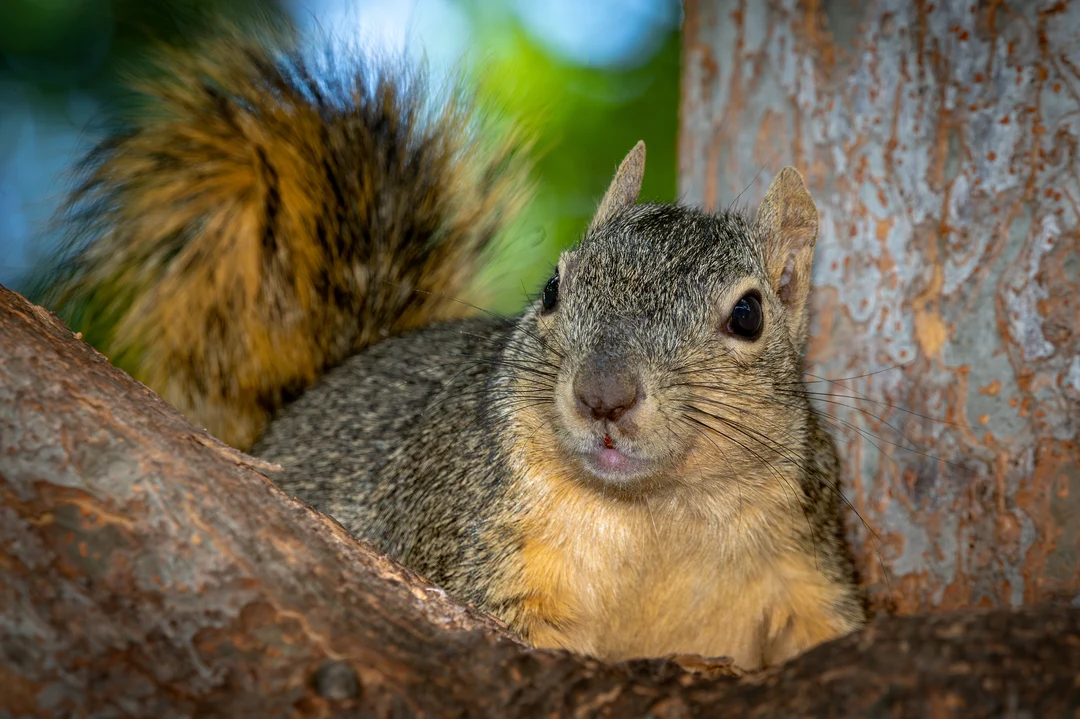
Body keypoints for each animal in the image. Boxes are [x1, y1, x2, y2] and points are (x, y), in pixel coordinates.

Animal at [37, 30, 867, 670]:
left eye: (749, 314)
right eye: (553, 288)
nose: (602, 394)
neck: (658, 512)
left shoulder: (810, 561)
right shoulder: (470, 540)